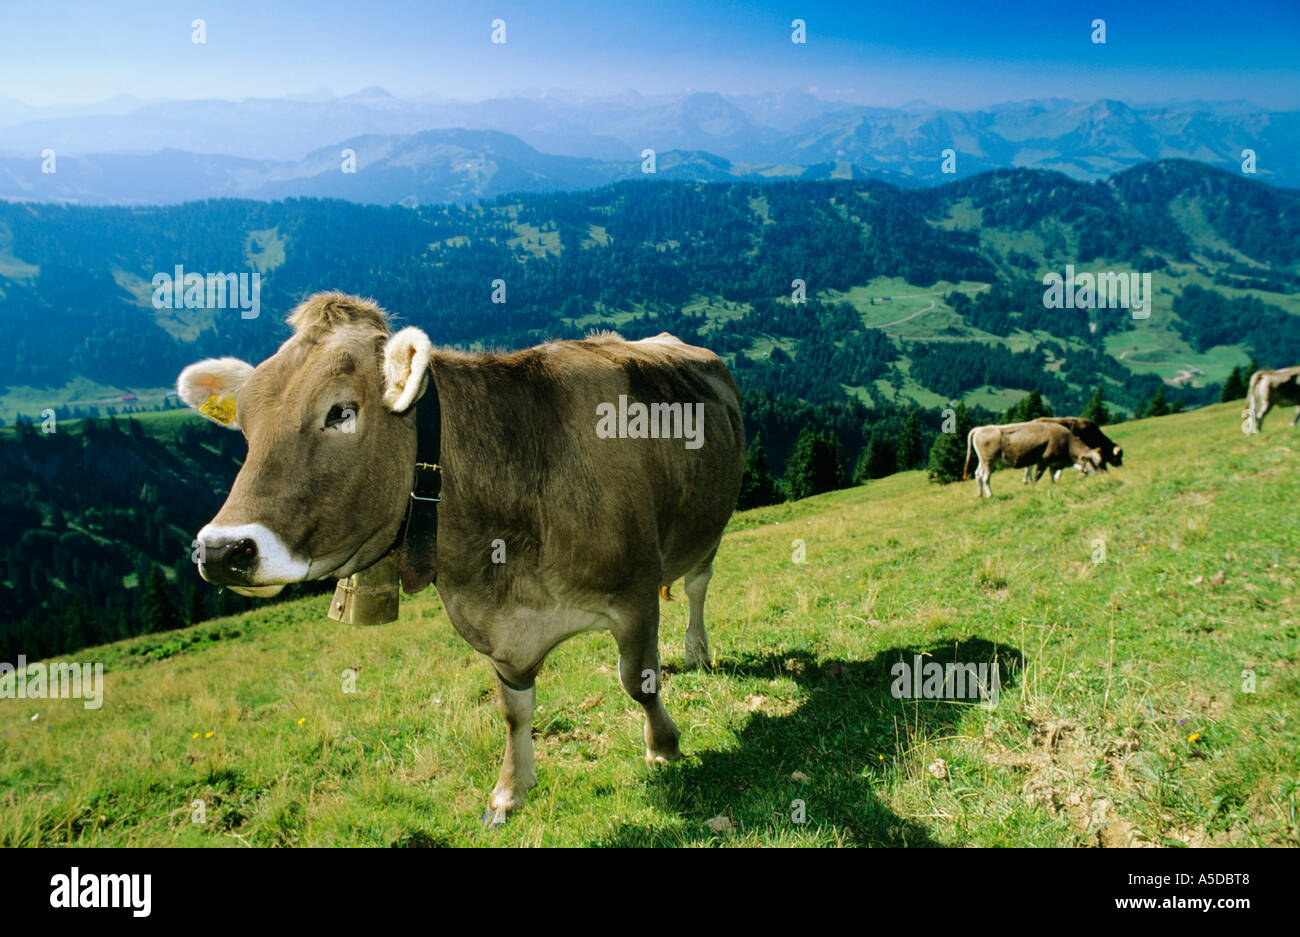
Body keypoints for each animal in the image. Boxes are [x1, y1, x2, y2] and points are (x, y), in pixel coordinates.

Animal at [175, 292, 746, 825]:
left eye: (341, 411)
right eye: (245, 427)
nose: (221, 550)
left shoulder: (635, 592)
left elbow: (638, 680)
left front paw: (663, 746)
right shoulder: (493, 627)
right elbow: (513, 710)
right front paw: (510, 790)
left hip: (710, 526)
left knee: (697, 586)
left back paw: (696, 651)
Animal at [963, 421, 1102, 499]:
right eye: (1092, 462)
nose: (1099, 476)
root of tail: (981, 428)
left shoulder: (1053, 462)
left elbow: (1052, 475)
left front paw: (1053, 485)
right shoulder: (1044, 460)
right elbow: (1037, 475)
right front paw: (1034, 487)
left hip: (982, 461)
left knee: (978, 474)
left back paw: (980, 495)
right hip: (989, 461)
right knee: (985, 478)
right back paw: (990, 495)